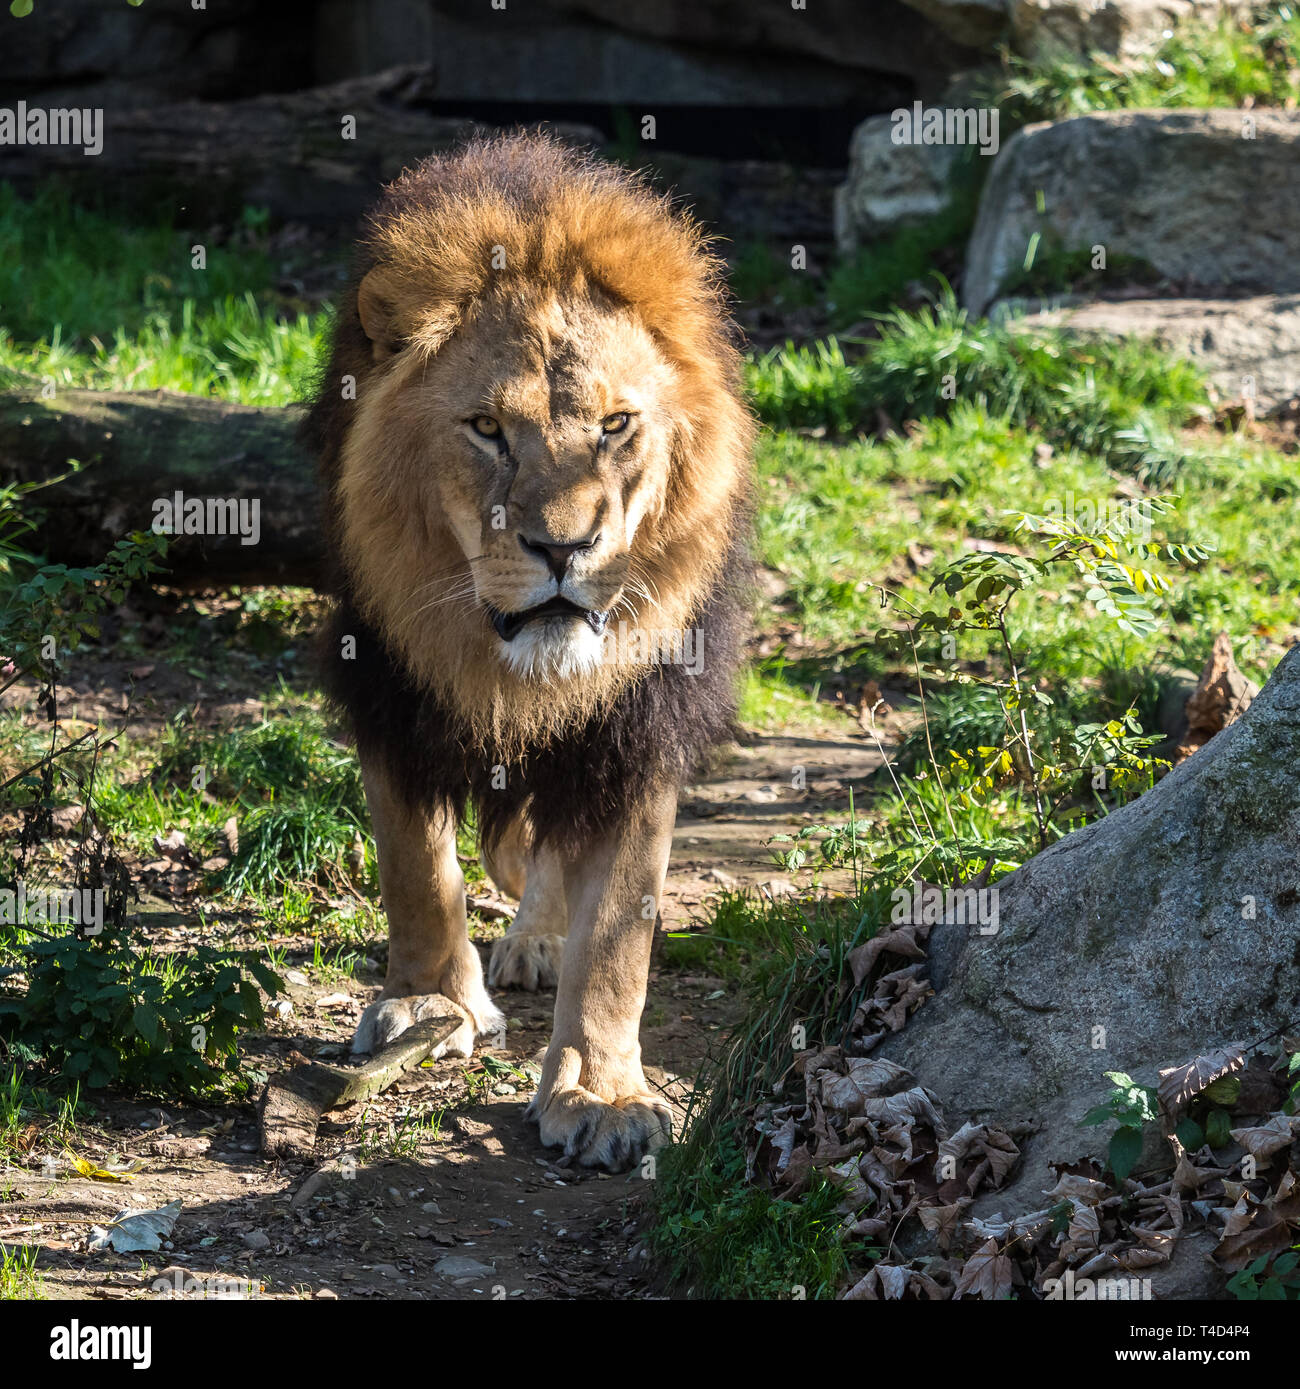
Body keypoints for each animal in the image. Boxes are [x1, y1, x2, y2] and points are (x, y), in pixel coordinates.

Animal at [303, 132, 754, 1172]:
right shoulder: (387, 688)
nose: (564, 547)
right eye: (487, 429)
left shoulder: (640, 727)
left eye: (615, 426)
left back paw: (541, 941)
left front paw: (602, 1090)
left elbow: (619, 932)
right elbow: (415, 866)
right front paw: (428, 1000)